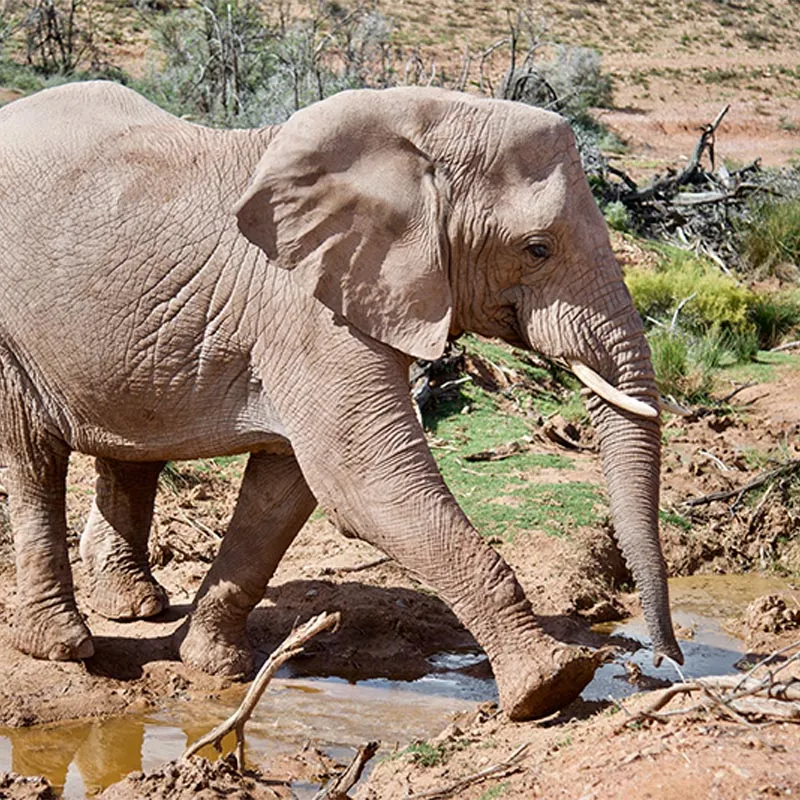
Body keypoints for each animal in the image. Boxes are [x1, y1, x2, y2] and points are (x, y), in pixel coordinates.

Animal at [0, 80, 683, 721]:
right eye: (537, 248)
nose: (663, 663)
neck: (417, 129)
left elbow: (285, 492)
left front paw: (215, 664)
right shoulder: (307, 309)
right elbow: (366, 484)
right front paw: (553, 686)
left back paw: (135, 604)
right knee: (33, 459)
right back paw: (64, 646)